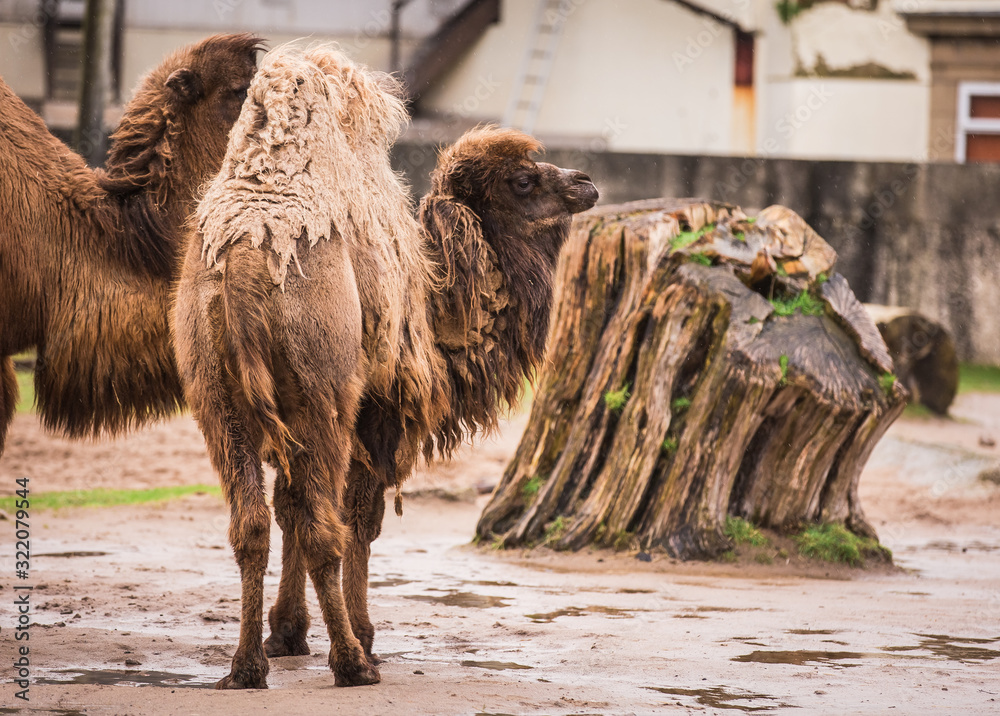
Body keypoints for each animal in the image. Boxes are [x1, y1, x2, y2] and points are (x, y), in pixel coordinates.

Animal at [173, 45, 597, 690]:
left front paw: (286, 634)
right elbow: (359, 520)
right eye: (524, 180)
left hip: (219, 401)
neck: (436, 300)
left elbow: (289, 507)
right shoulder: (380, 409)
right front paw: (362, 637)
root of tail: (245, 255)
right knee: (325, 527)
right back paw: (352, 662)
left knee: (251, 524)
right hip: (322, 396)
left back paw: (245, 667)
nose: (585, 182)